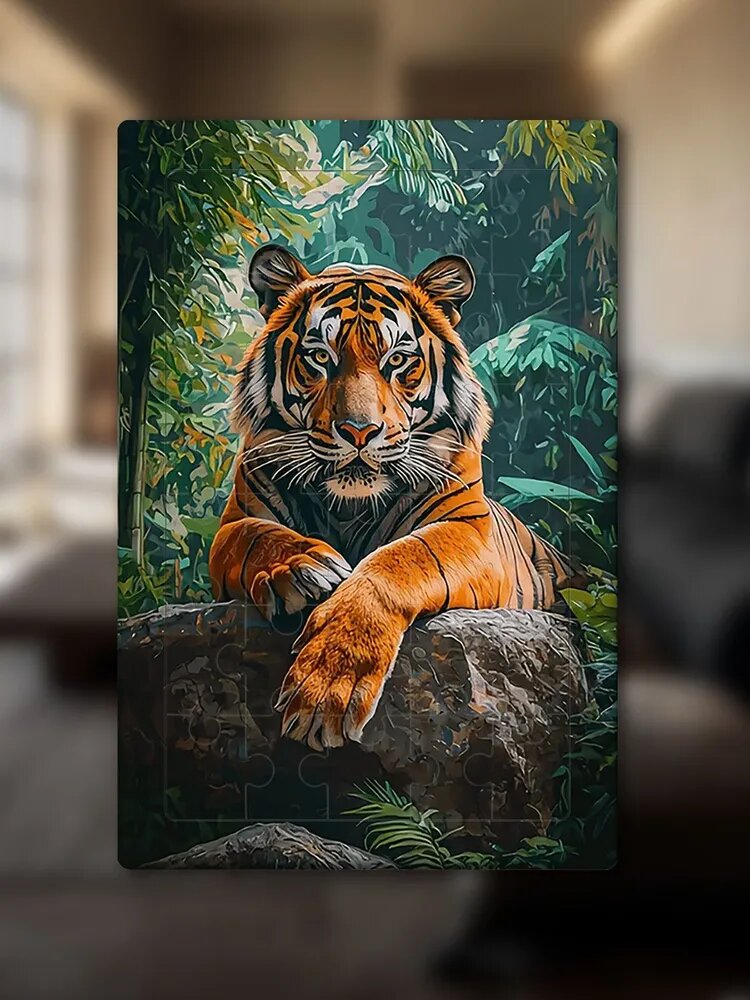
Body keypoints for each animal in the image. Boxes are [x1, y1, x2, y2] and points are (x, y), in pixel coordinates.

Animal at [209, 244, 577, 751]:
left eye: (398, 360)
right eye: (319, 357)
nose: (359, 431)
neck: (349, 505)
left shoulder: (469, 529)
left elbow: (401, 559)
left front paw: (329, 684)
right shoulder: (232, 523)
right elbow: (257, 537)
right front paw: (304, 567)